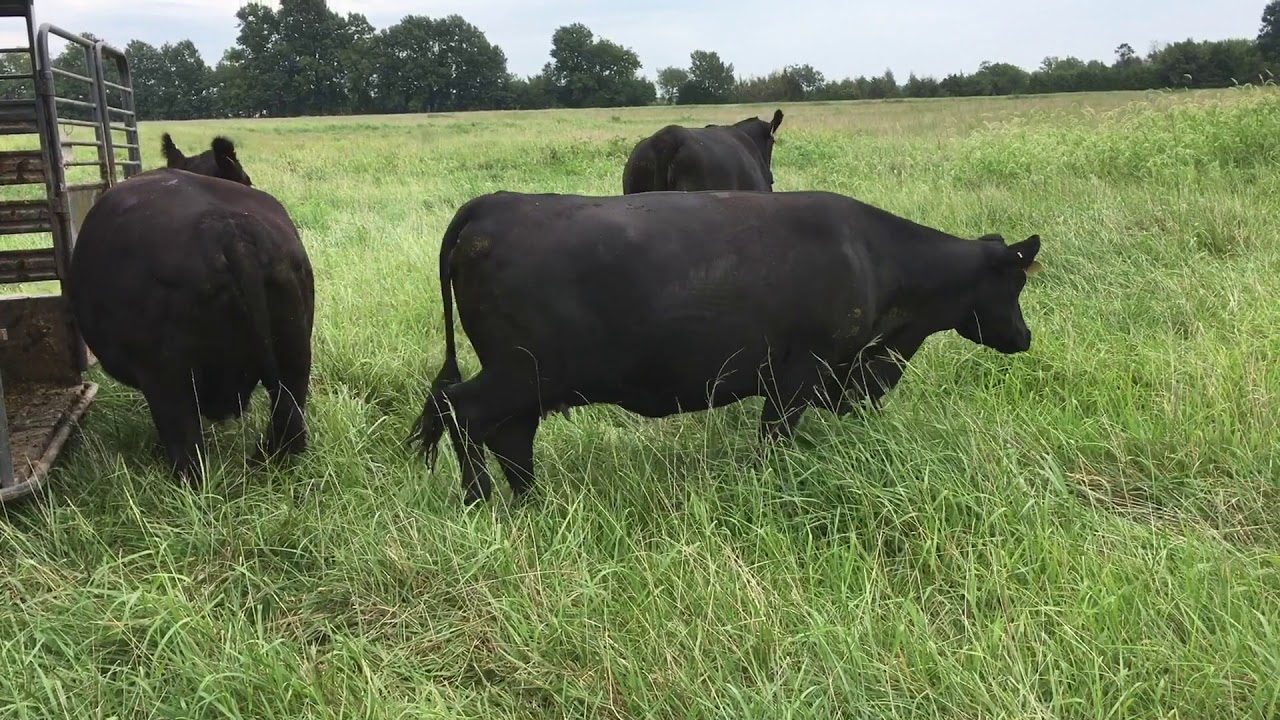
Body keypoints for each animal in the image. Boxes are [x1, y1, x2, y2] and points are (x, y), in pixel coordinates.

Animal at [413, 189, 1044, 507]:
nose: (1024, 336)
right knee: (459, 410)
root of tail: (495, 202)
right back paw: (480, 501)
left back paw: (530, 502)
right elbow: (773, 441)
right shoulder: (801, 371)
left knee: (508, 436)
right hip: (521, 372)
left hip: (532, 382)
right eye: (1014, 284)